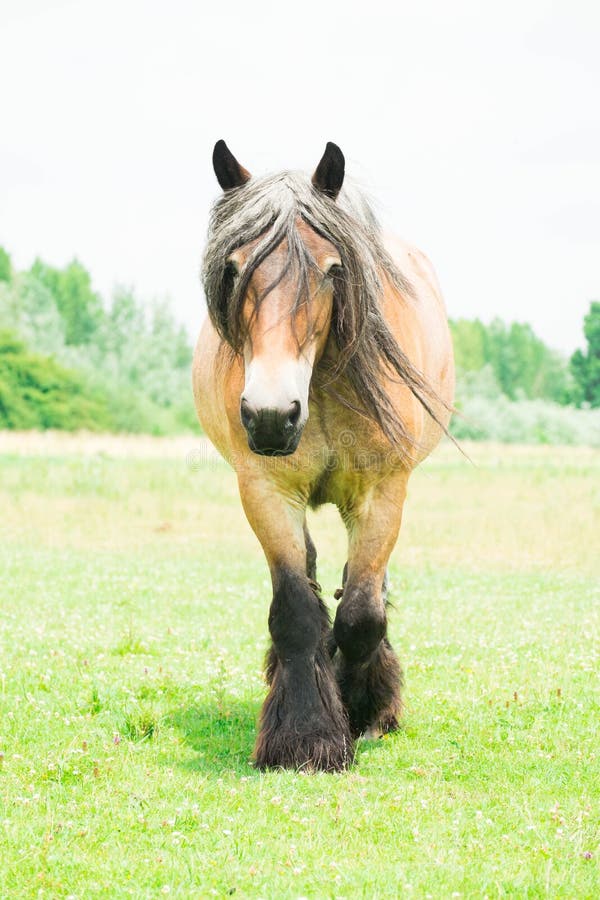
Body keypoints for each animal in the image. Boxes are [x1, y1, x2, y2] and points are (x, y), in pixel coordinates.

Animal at [193, 141, 454, 771]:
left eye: (334, 269)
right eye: (233, 269)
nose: (270, 415)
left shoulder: (383, 493)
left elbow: (361, 615)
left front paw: (363, 710)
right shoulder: (266, 490)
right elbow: (294, 610)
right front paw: (305, 735)